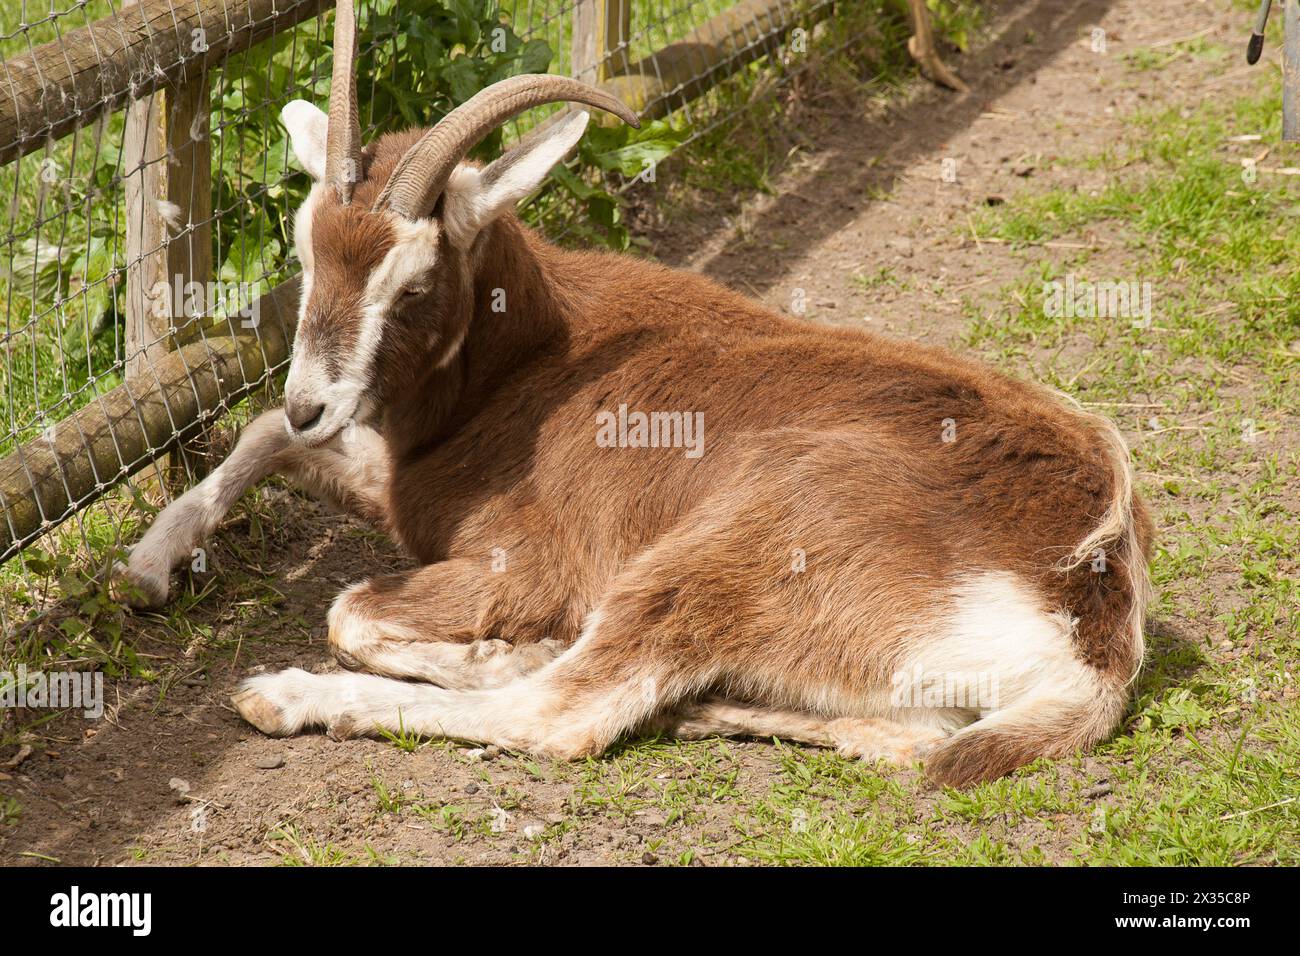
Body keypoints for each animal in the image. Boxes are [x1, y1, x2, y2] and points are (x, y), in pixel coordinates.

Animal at [114, 0, 1153, 787]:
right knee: (908, 739)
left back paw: (305, 692)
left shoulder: (522, 566)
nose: (314, 399)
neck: (535, 357)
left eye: (412, 286)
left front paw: (493, 647)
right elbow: (261, 437)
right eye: (307, 246)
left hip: (719, 550)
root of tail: (1093, 599)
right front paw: (145, 566)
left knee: (558, 714)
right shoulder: (398, 477)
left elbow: (350, 609)